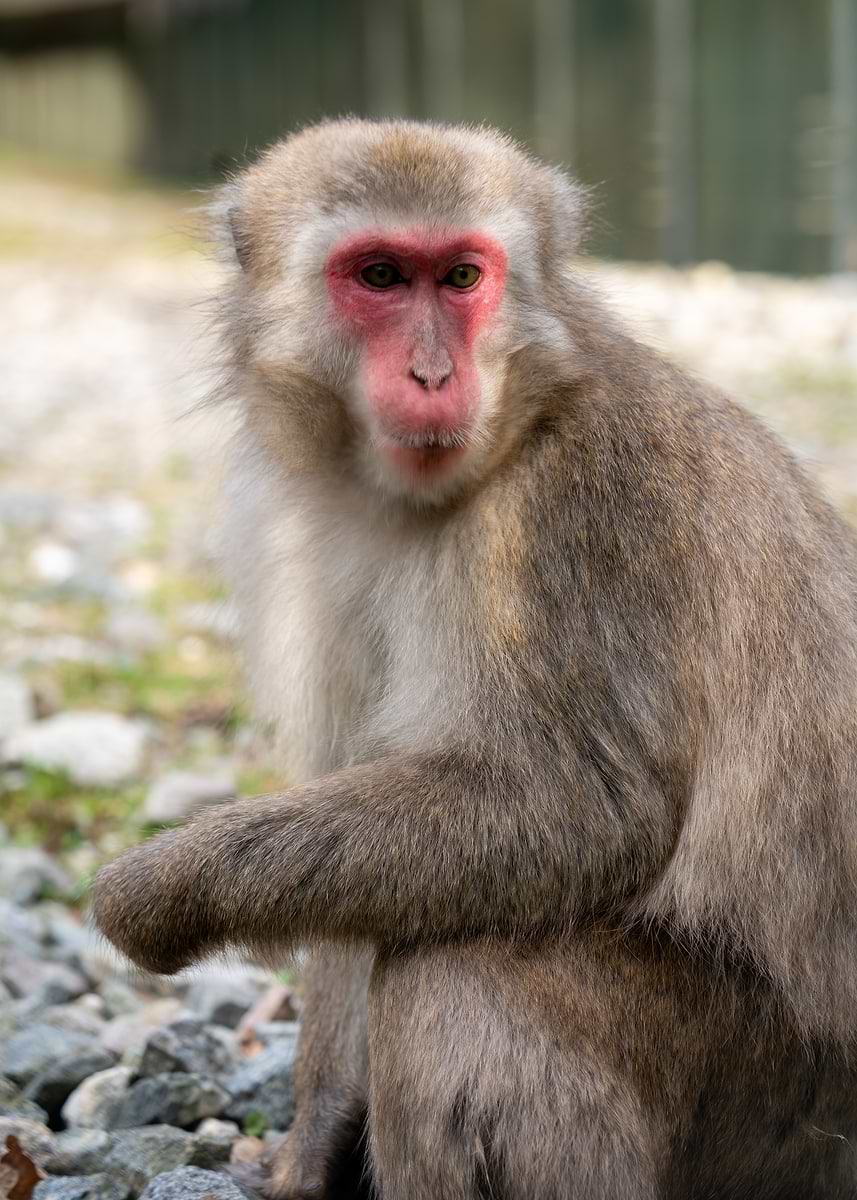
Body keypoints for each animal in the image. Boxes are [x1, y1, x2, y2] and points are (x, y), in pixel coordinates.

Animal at [92, 119, 857, 1200]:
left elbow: (580, 809)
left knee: (457, 976)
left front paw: (164, 889)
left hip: (784, 1103)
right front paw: (313, 1136)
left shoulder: (560, 518)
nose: (430, 376)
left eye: (461, 277)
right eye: (378, 275)